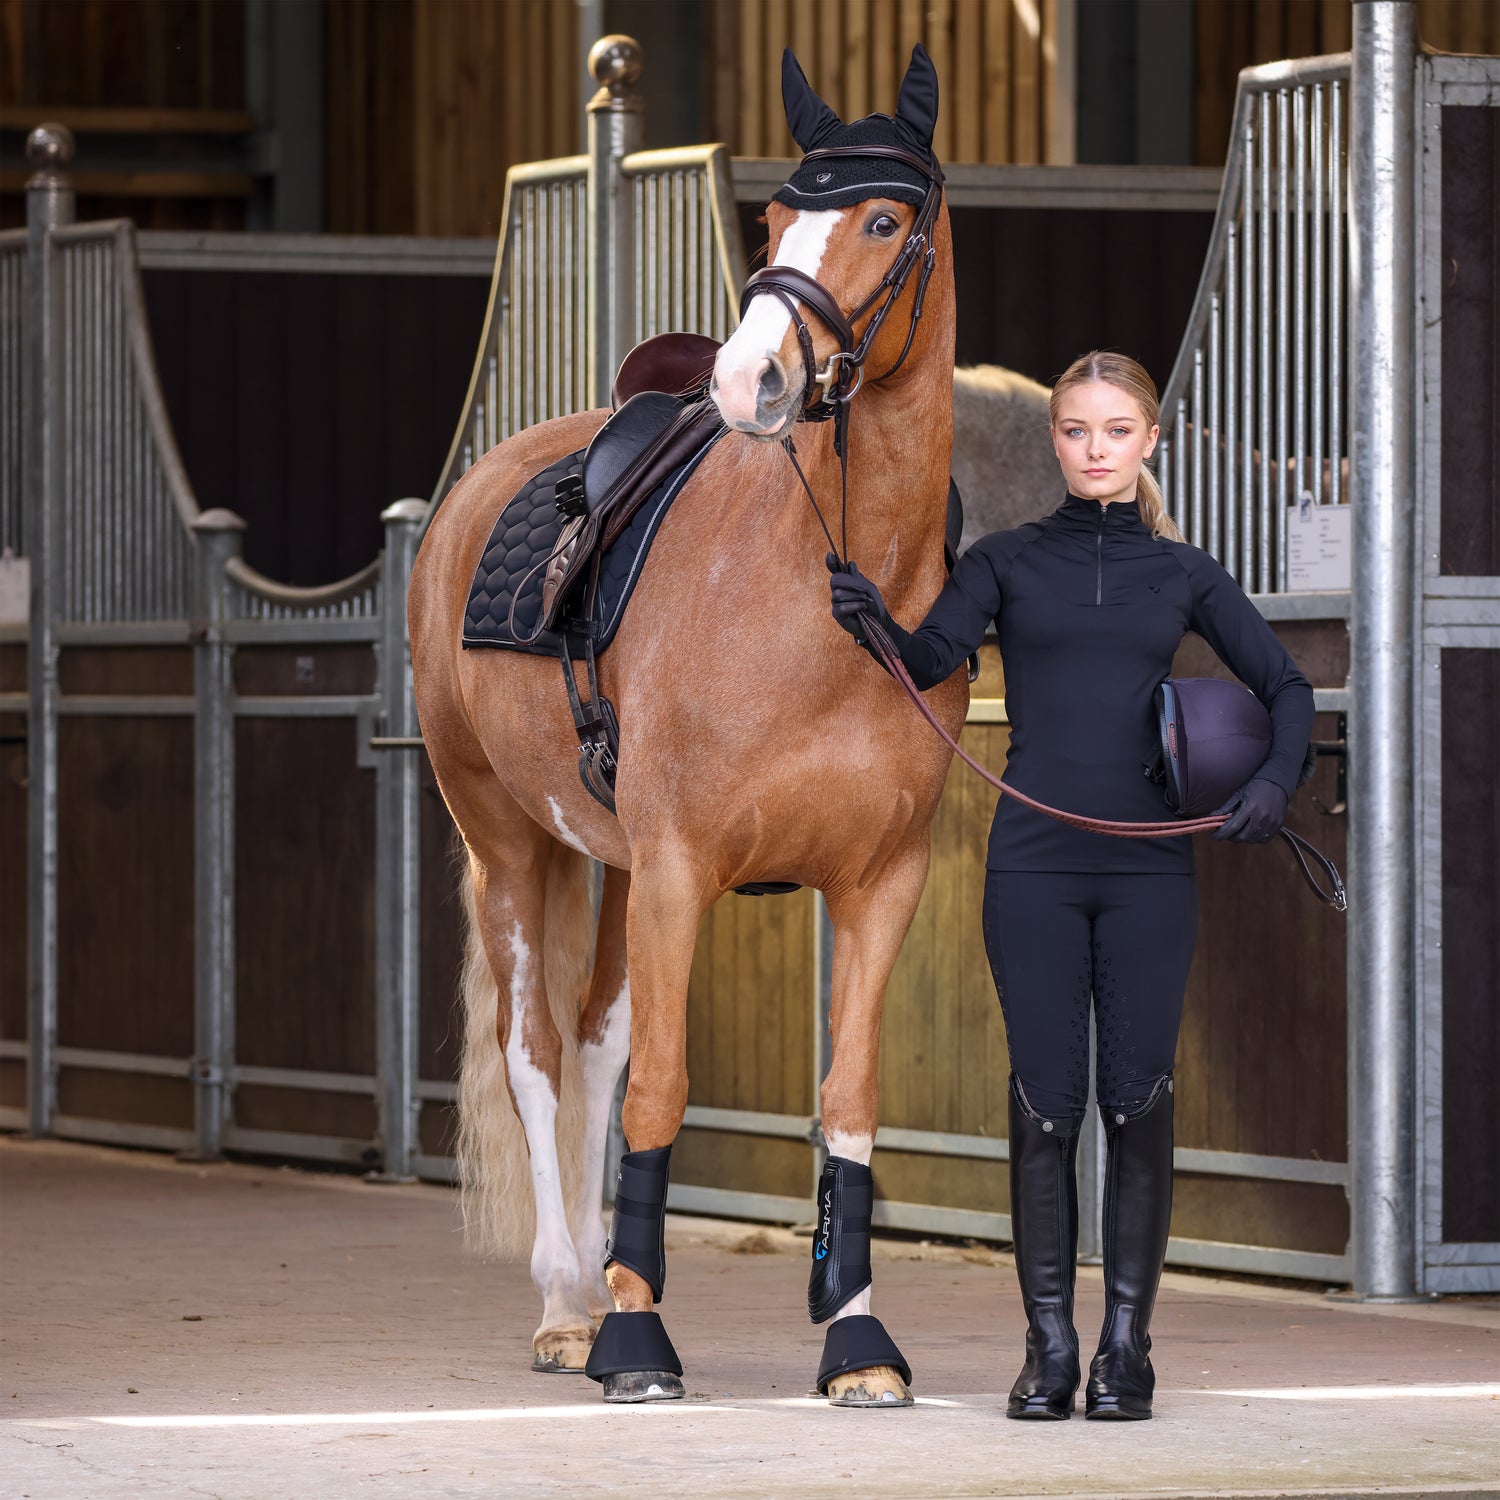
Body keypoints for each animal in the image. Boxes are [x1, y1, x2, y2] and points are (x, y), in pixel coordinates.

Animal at [408, 44, 965, 1408]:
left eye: (886, 219)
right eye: (771, 221)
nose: (749, 380)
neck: (829, 592)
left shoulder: (881, 882)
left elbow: (847, 1097)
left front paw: (856, 1343)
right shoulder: (678, 871)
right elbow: (657, 1088)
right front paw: (633, 1337)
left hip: (605, 863)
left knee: (596, 1039)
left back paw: (600, 1276)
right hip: (509, 846)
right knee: (537, 1050)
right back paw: (570, 1303)